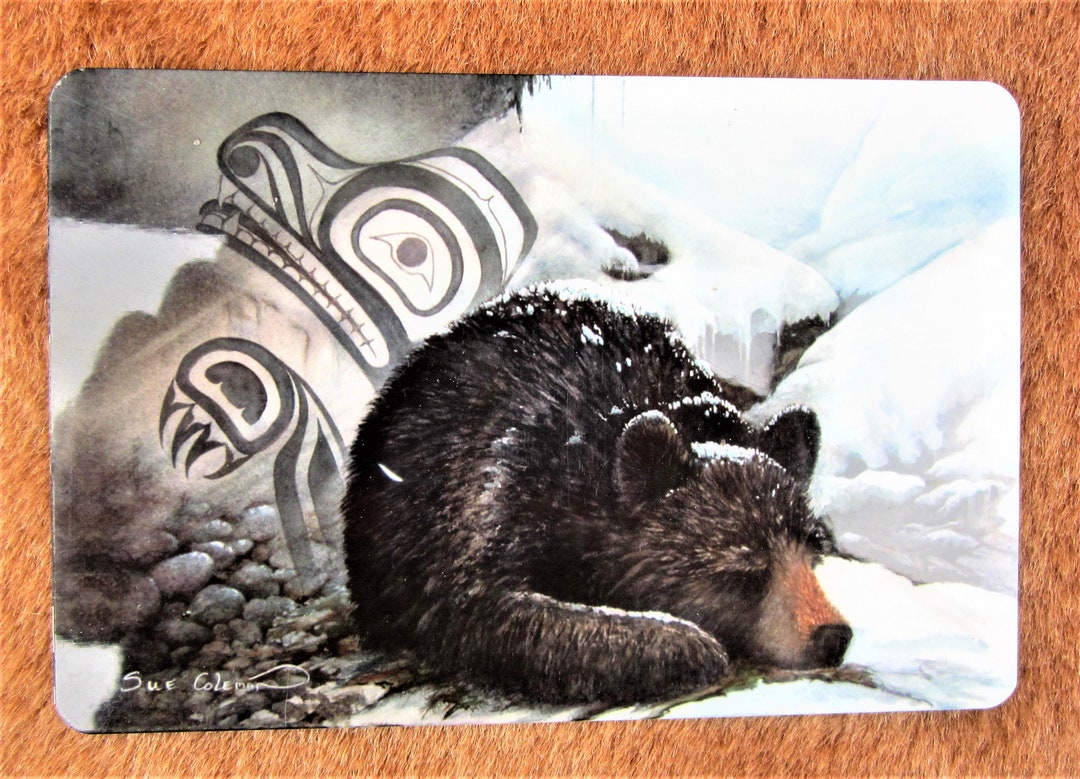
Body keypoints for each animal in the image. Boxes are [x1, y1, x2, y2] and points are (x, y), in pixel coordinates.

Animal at [342, 283, 851, 705]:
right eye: (746, 569)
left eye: (812, 551)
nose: (833, 635)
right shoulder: (484, 485)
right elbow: (492, 613)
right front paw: (687, 644)